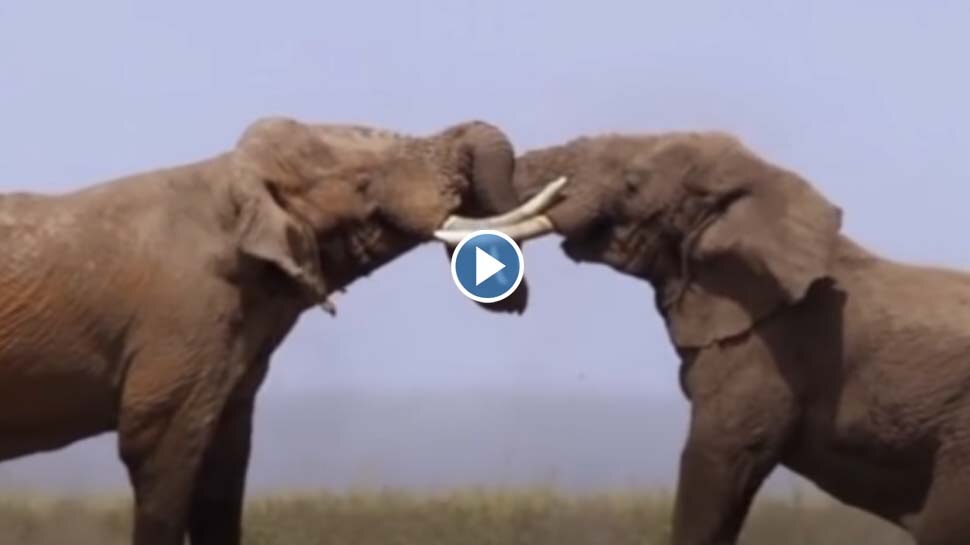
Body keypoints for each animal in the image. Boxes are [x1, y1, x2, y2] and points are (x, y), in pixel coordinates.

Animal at [0, 117, 561, 545]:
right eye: (362, 182)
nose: (512, 300)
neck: (233, 181)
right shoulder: (183, 321)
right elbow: (158, 447)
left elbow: (224, 467)